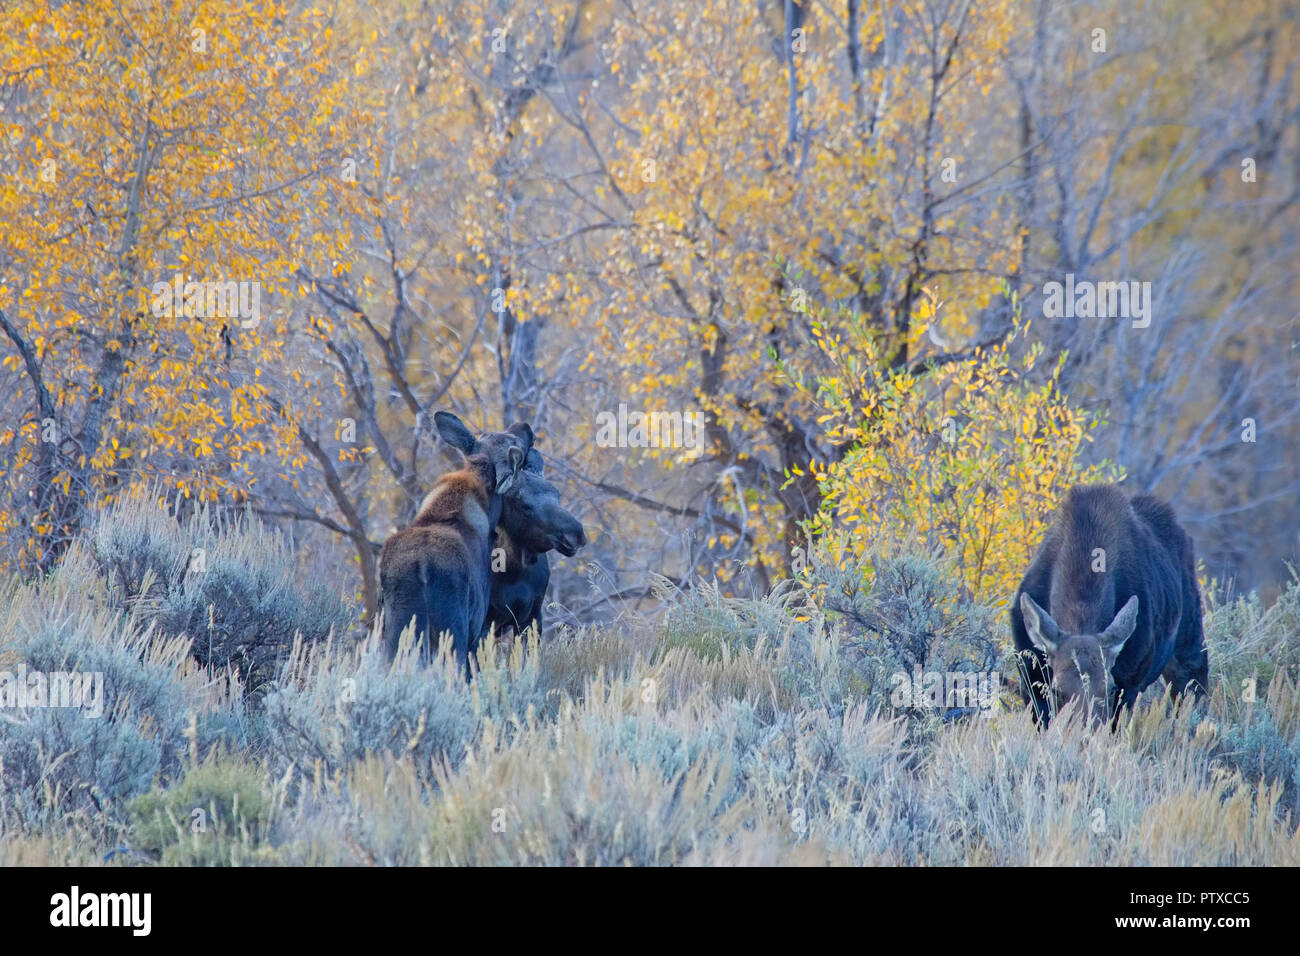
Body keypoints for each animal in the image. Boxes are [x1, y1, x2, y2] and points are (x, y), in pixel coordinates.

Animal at [1010, 483, 1208, 726]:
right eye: (1057, 691)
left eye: (1109, 689)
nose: (1084, 729)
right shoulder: (1030, 680)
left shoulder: (1129, 683)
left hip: (1189, 644)